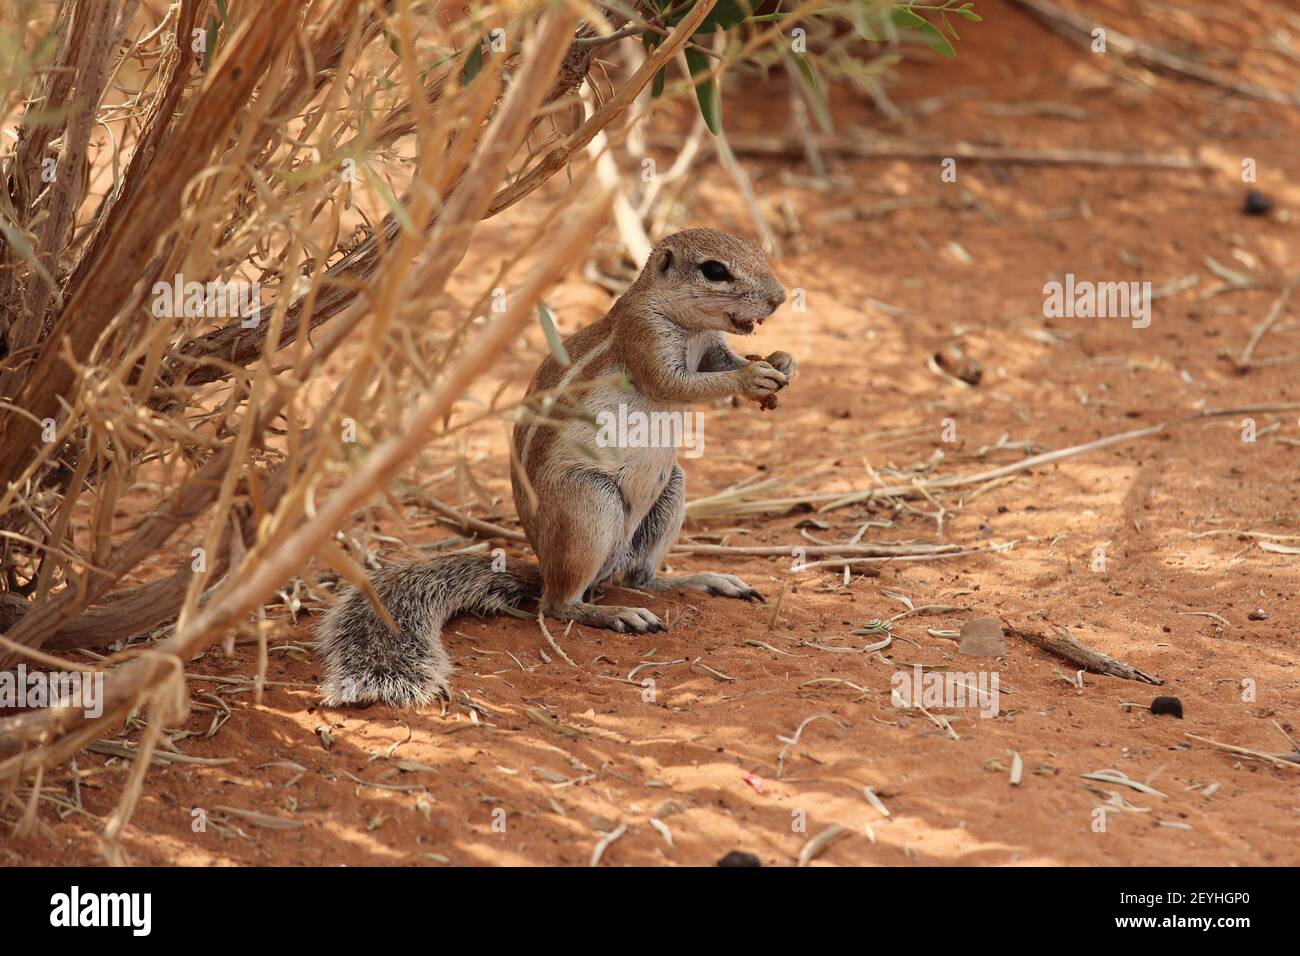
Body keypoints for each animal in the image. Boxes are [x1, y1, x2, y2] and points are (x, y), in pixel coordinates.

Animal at [317, 228, 795, 707]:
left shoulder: (710, 348)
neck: (688, 325)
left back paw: (705, 581)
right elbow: (677, 383)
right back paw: (619, 614)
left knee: (640, 577)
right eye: (715, 270)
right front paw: (750, 378)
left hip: (669, 491)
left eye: (756, 250)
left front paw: (782, 361)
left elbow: (723, 362)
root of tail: (544, 564)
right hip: (590, 505)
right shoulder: (644, 339)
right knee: (559, 603)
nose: (779, 298)